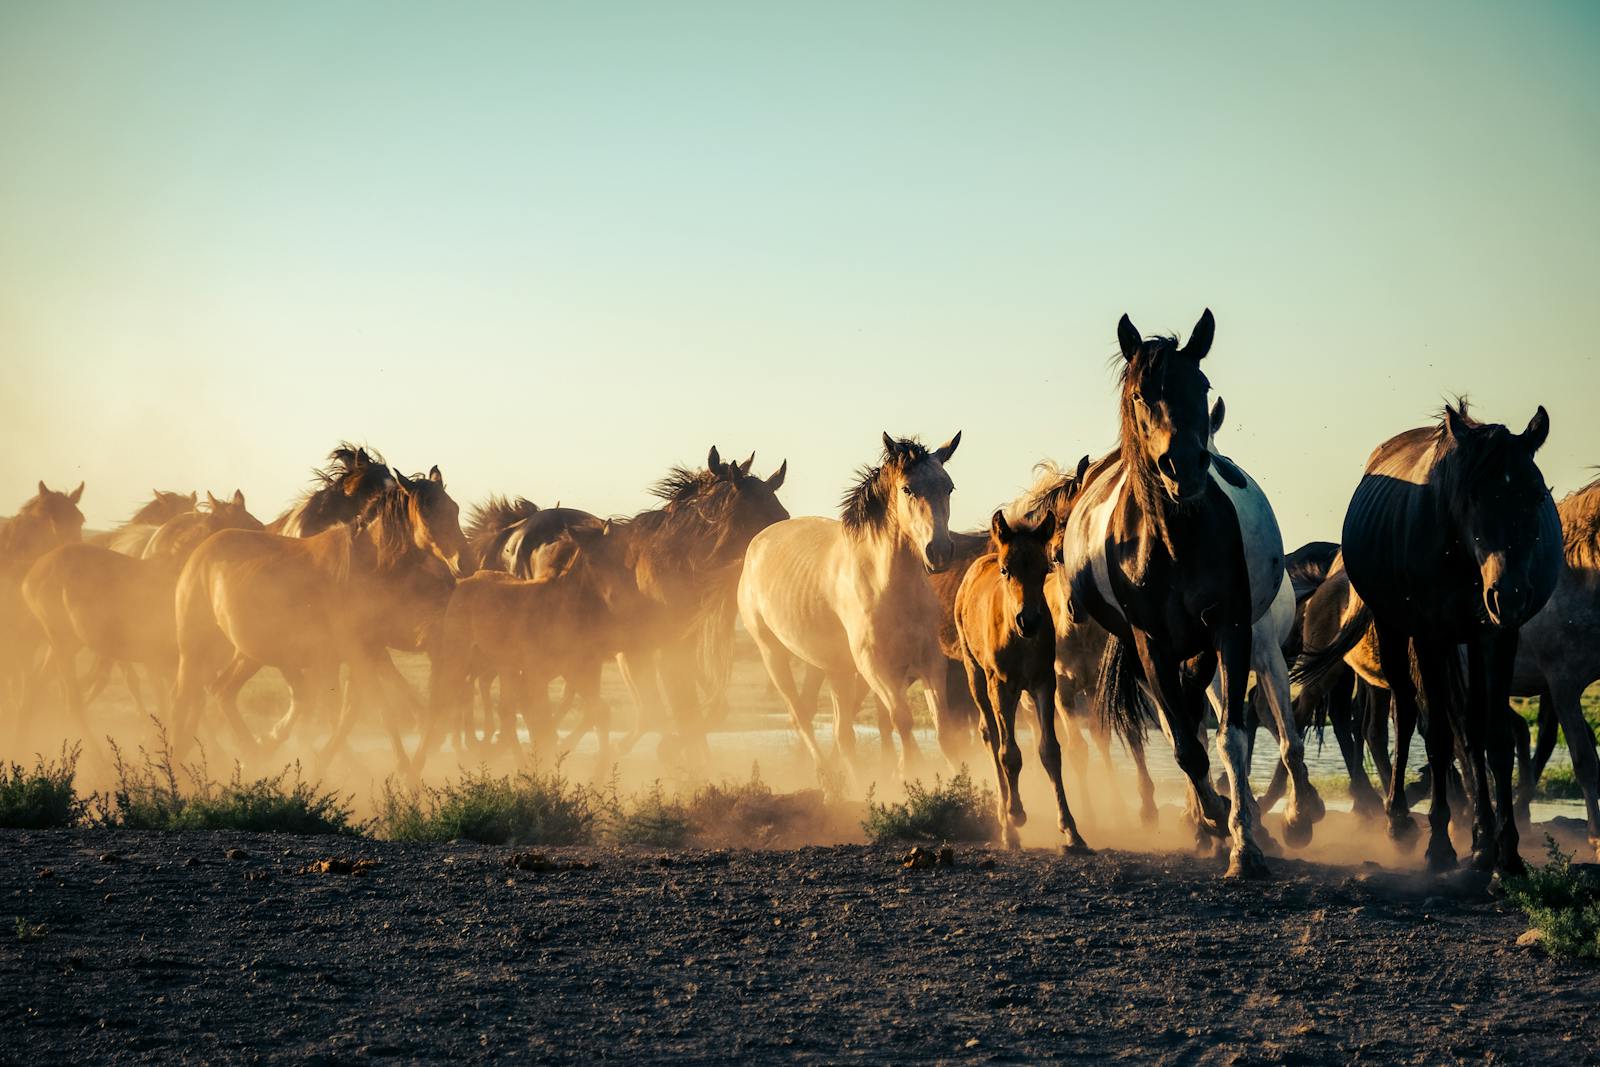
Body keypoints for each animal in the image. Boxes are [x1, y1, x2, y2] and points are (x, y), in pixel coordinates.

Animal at [171, 467, 473, 774]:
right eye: (427, 512)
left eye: (455, 509)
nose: (465, 562)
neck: (363, 567)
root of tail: (200, 552)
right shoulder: (356, 652)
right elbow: (377, 708)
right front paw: (403, 768)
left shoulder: (366, 651)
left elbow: (350, 710)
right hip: (193, 650)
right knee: (183, 698)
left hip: (249, 653)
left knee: (222, 692)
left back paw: (255, 751)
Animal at [738, 432, 962, 783]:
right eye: (907, 489)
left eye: (948, 487)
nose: (938, 551)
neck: (888, 583)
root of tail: (758, 543)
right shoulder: (875, 666)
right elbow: (902, 720)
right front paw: (910, 776)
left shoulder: (929, 661)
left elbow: (943, 732)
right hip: (773, 654)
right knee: (801, 716)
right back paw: (828, 779)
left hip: (831, 668)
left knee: (842, 733)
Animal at [957, 507, 1093, 850]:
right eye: (1006, 570)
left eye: (1044, 569)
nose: (1028, 620)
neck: (1018, 640)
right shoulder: (1001, 685)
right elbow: (1009, 754)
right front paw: (1015, 816)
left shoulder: (1044, 683)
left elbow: (1050, 751)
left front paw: (1071, 830)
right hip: (977, 676)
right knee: (991, 737)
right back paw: (1006, 824)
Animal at [1060, 310, 1303, 878]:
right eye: (1140, 394)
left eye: (1202, 385)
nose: (1185, 465)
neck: (1173, 542)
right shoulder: (1151, 644)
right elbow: (1186, 748)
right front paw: (1214, 817)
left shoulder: (1230, 629)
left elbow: (1231, 737)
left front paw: (1244, 844)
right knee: (1181, 730)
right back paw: (1204, 817)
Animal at [1302, 401, 1560, 874]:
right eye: (1472, 495)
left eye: (1536, 495)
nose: (1510, 595)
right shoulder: (1429, 634)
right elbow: (1437, 734)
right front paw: (1440, 844)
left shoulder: (1498, 636)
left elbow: (1494, 737)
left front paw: (1504, 849)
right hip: (1394, 631)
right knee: (1402, 717)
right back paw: (1398, 821)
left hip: (1469, 640)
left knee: (1465, 728)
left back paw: (1477, 836)